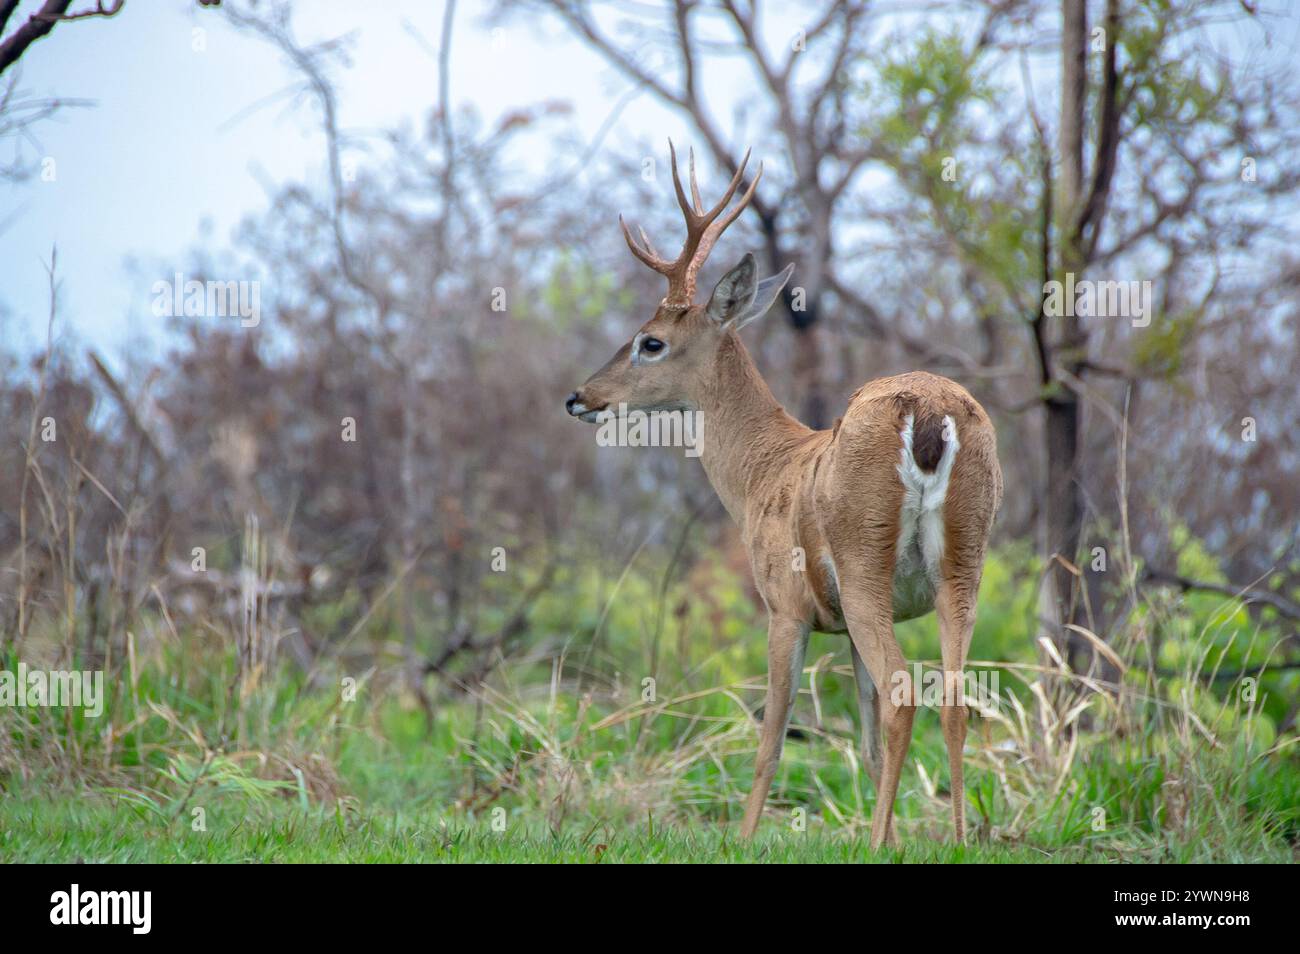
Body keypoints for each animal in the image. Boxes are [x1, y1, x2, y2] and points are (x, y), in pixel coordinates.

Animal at [565, 144, 1003, 849]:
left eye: (650, 341)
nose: (579, 397)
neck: (761, 472)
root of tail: (932, 415)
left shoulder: (785, 605)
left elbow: (770, 740)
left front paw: (744, 838)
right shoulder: (846, 626)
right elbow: (866, 740)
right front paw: (894, 837)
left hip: (862, 558)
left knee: (906, 693)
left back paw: (875, 846)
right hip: (965, 559)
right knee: (956, 697)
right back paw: (957, 839)